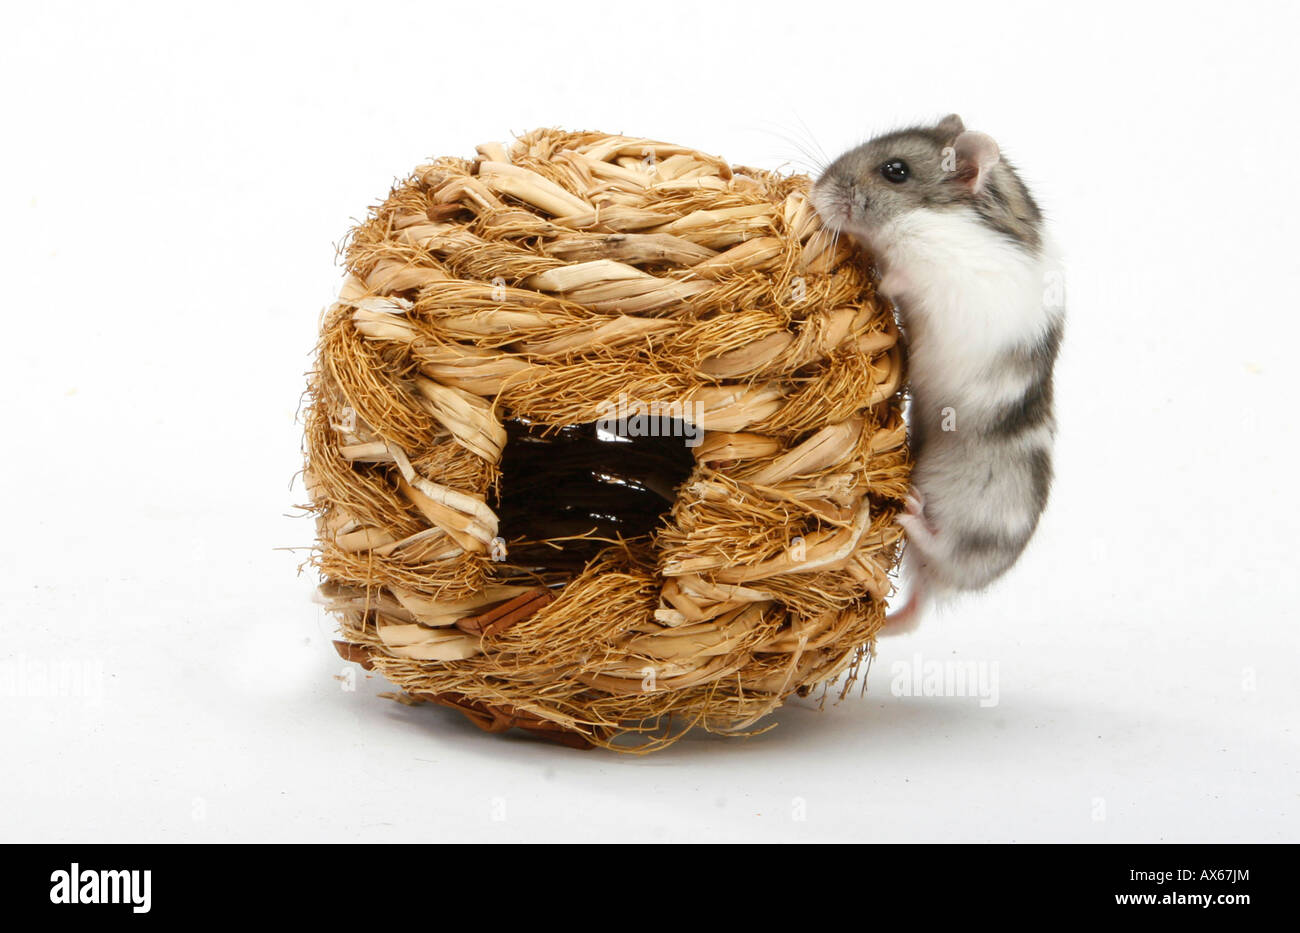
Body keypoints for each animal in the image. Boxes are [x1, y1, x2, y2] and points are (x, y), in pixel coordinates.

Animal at [810, 114, 1064, 631]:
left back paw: (912, 514)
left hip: (967, 509)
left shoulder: (939, 268)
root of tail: (935, 588)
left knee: (942, 547)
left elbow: (897, 277)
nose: (815, 191)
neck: (940, 216)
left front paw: (875, 271)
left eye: (896, 171)